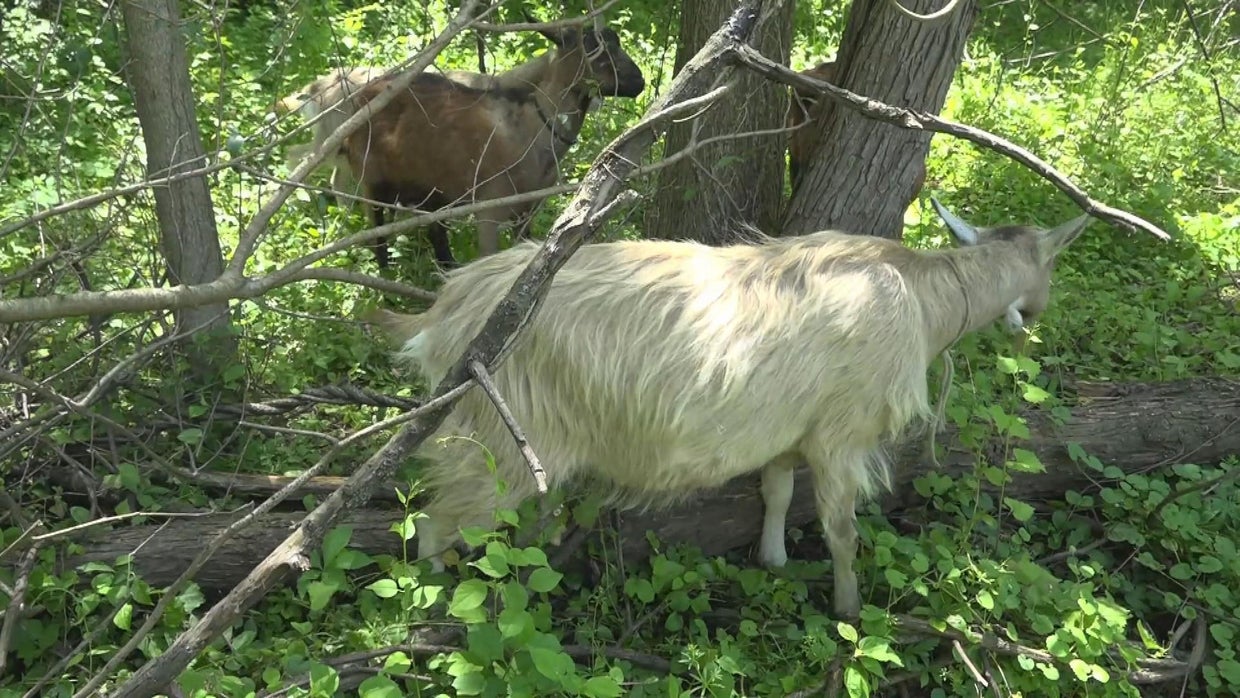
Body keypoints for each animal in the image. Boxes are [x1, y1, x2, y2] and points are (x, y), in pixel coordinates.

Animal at [343, 20, 645, 269]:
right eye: (595, 51)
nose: (639, 81)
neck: (533, 129)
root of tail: (361, 95)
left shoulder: (528, 210)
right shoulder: (489, 206)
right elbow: (488, 257)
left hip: (430, 191)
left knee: (438, 242)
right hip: (371, 181)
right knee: (379, 242)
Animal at [366, 198, 1088, 618]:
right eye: (1052, 265)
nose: (1036, 320)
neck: (921, 293)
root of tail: (442, 312)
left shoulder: (789, 433)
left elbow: (776, 492)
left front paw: (772, 560)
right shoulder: (841, 435)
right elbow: (843, 531)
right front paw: (849, 612)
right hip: (493, 442)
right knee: (433, 526)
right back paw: (434, 612)